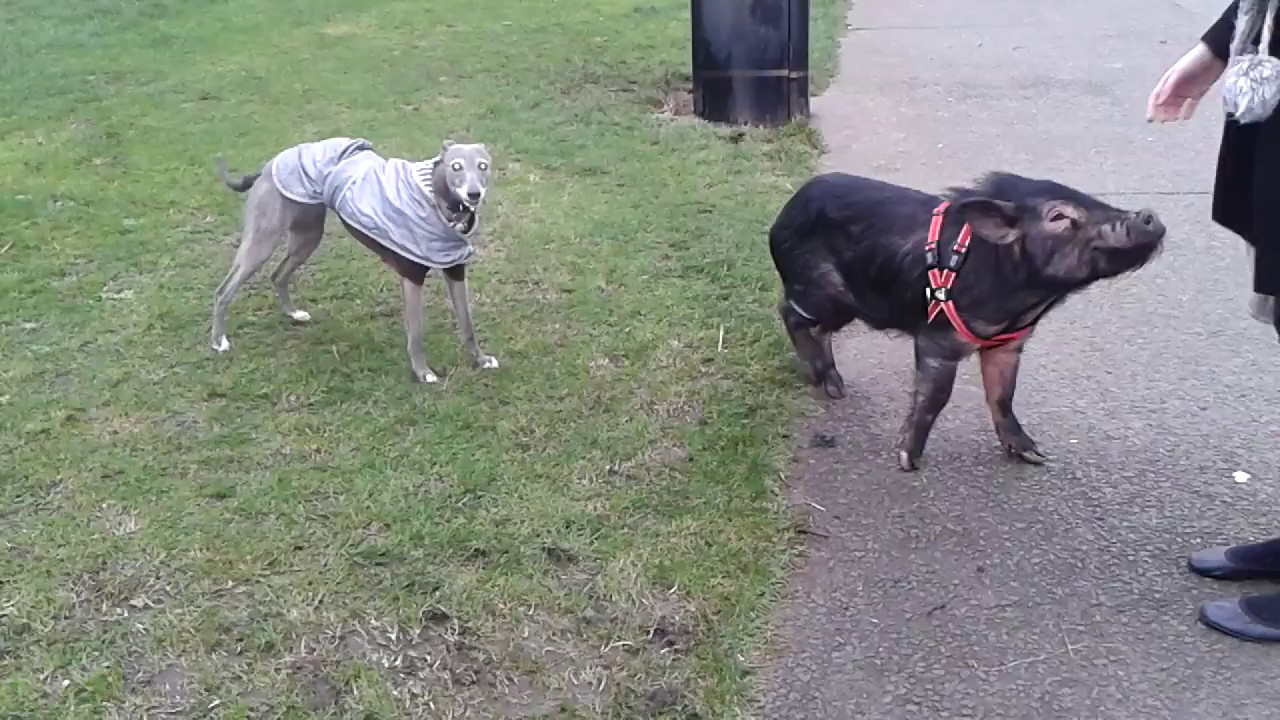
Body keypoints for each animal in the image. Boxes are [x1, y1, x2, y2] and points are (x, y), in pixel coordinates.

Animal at [768, 172, 1166, 471]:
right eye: (1059, 217)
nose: (1148, 215)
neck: (1024, 302)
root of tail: (787, 209)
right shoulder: (937, 337)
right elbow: (935, 398)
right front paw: (908, 461)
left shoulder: (1008, 344)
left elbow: (1003, 395)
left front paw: (1034, 455)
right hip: (823, 292)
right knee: (789, 312)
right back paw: (827, 382)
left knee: (817, 329)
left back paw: (836, 387)